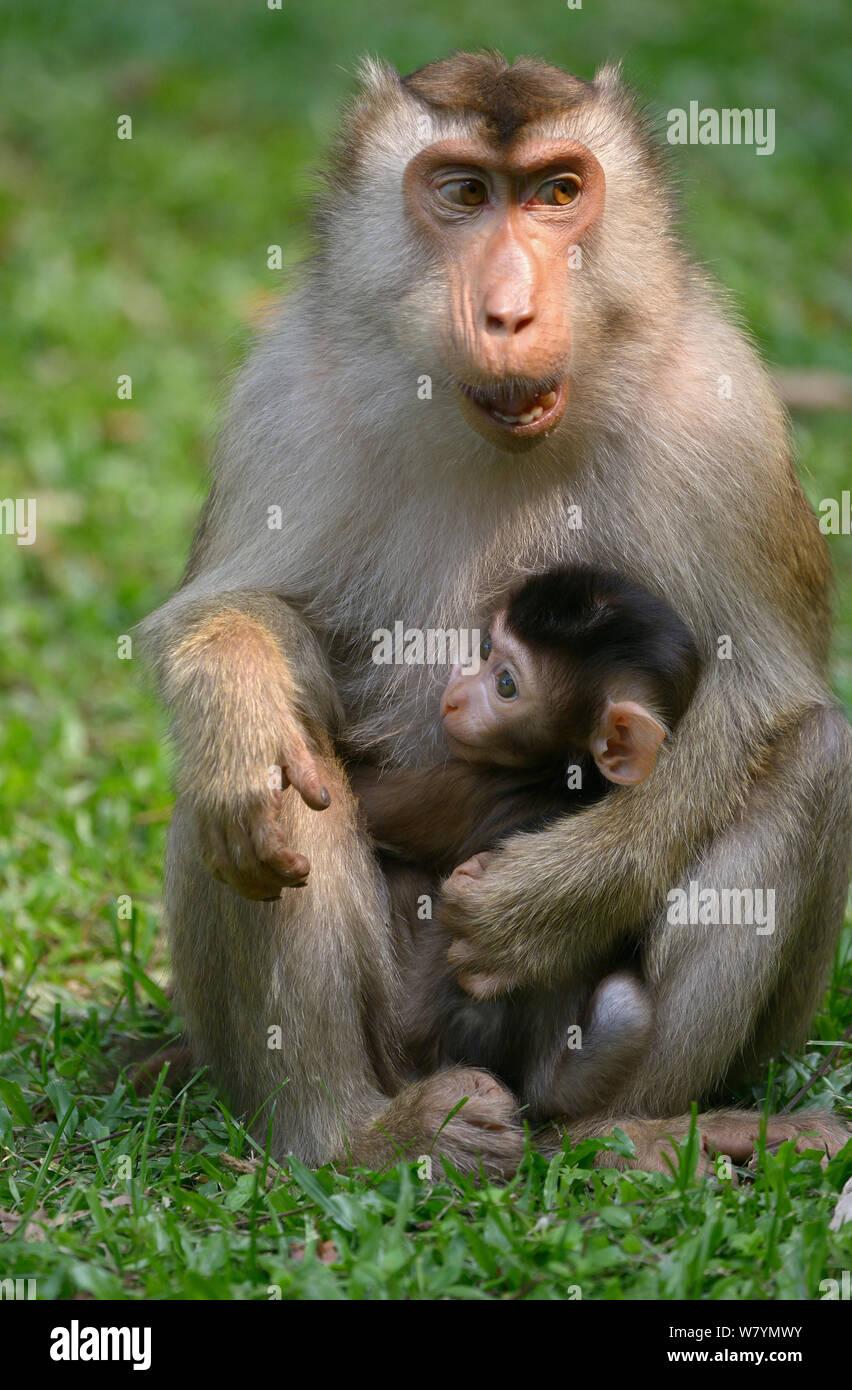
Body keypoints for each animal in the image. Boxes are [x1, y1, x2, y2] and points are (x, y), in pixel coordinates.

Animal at [350, 564, 702, 1121]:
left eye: (506, 684)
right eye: (485, 646)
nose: (455, 691)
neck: (571, 773)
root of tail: (534, 1078)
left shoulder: (471, 787)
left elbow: (358, 792)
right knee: (626, 1006)